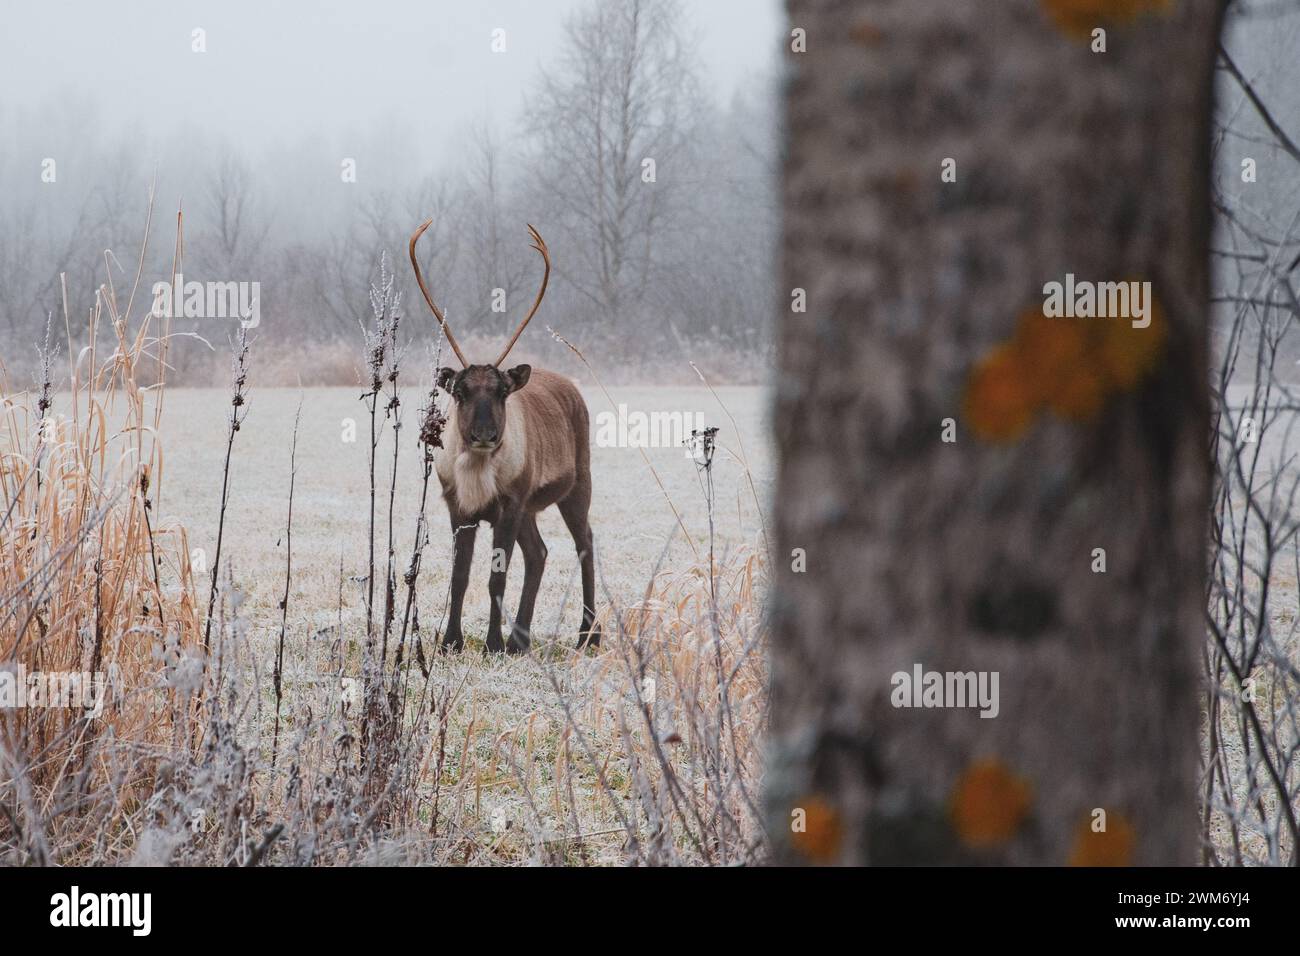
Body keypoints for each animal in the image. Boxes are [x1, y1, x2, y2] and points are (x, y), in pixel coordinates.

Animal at [408, 219, 601, 655]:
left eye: (501, 391)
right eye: (460, 391)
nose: (484, 433)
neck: (478, 473)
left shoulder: (509, 505)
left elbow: (497, 576)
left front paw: (492, 643)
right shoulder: (459, 508)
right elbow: (460, 576)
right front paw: (451, 641)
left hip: (577, 483)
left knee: (584, 542)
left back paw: (587, 634)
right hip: (532, 507)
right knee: (540, 553)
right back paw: (521, 639)